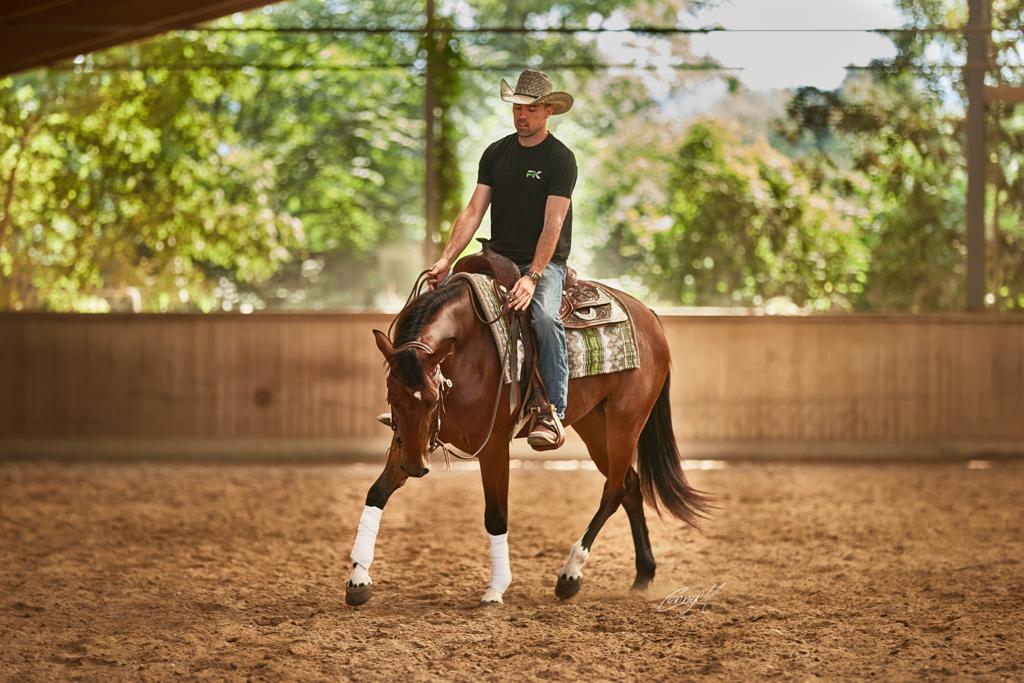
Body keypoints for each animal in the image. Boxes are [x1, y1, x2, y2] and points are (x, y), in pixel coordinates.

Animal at [345, 271, 715, 606]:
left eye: (433, 398)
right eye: (392, 397)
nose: (416, 467)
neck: (466, 351)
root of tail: (648, 315)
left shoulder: (493, 446)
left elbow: (496, 515)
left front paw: (496, 589)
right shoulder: (406, 440)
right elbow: (378, 492)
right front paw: (358, 579)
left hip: (626, 421)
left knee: (614, 490)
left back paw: (570, 575)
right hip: (595, 425)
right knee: (631, 485)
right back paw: (642, 574)